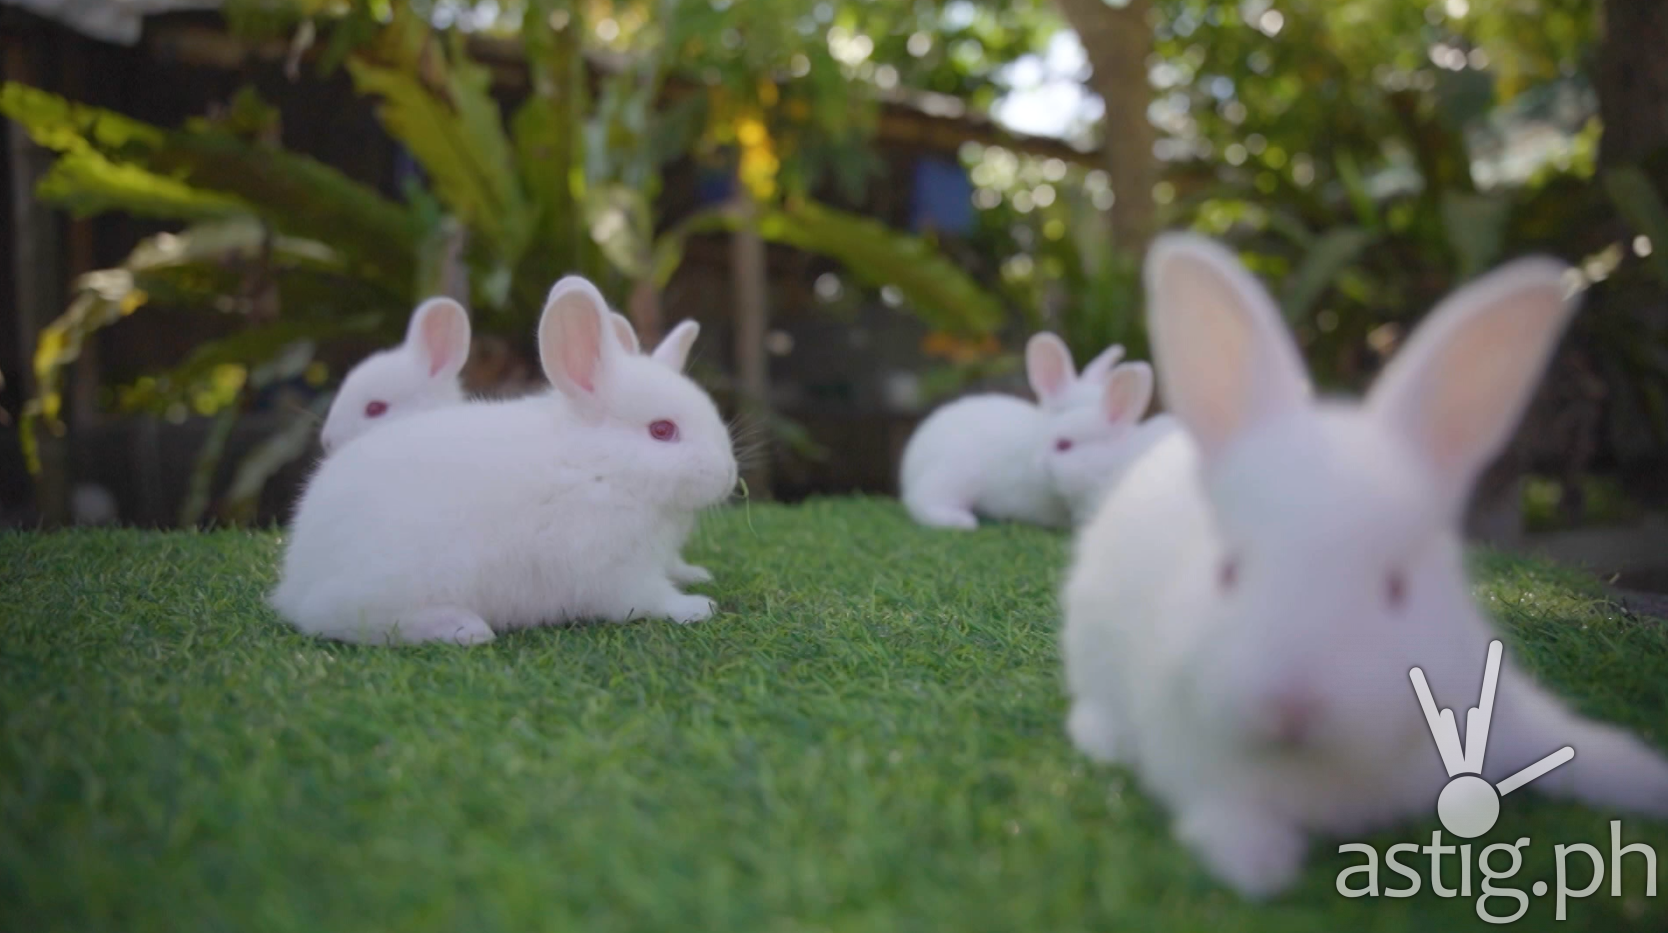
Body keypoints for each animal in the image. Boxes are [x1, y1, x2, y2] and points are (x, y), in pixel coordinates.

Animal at [1060, 233, 1668, 898]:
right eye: (1228, 573)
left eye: (1397, 587)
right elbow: (1228, 815)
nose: (1292, 705)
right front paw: (1260, 869)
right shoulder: (1195, 760)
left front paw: (1650, 783)